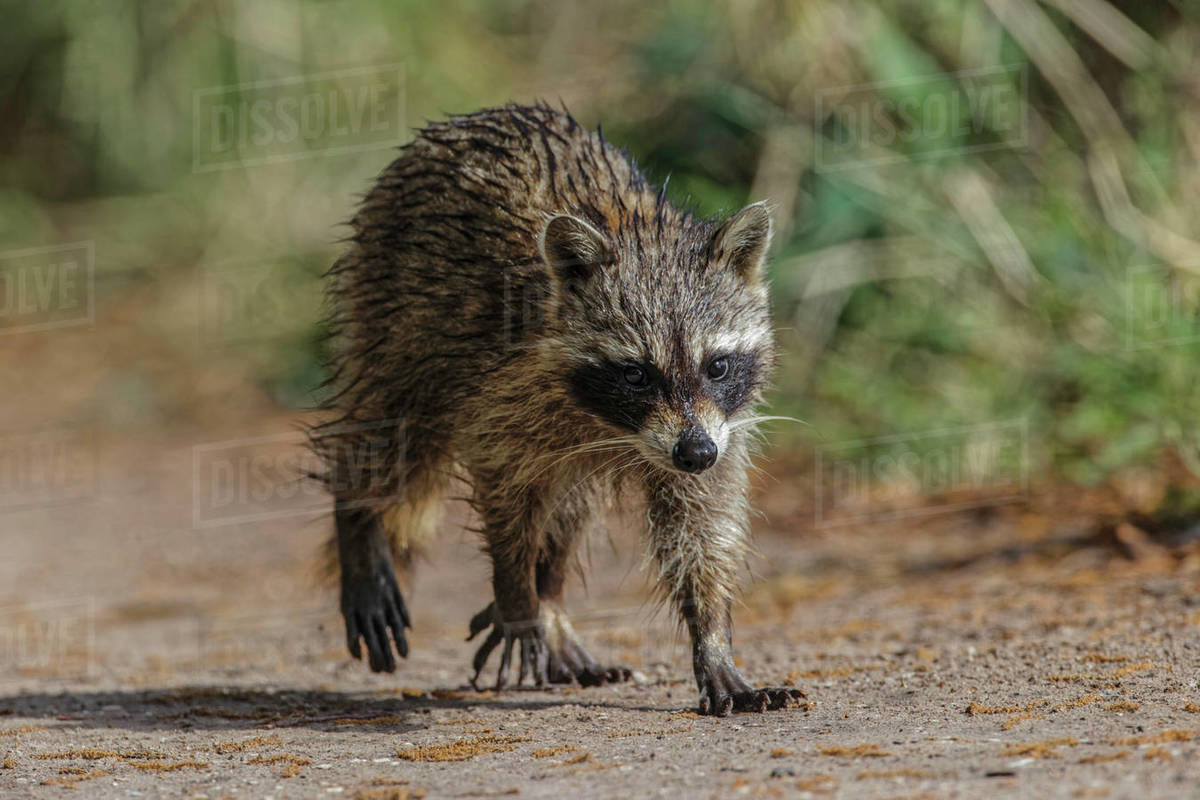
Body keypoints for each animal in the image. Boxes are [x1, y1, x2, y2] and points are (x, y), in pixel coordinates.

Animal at [311, 102, 803, 716]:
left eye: (717, 366)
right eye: (636, 373)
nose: (694, 453)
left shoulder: (720, 427)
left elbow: (702, 525)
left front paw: (713, 641)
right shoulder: (502, 385)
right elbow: (503, 485)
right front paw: (514, 588)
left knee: (569, 509)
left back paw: (552, 599)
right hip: (393, 308)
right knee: (395, 433)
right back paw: (359, 515)